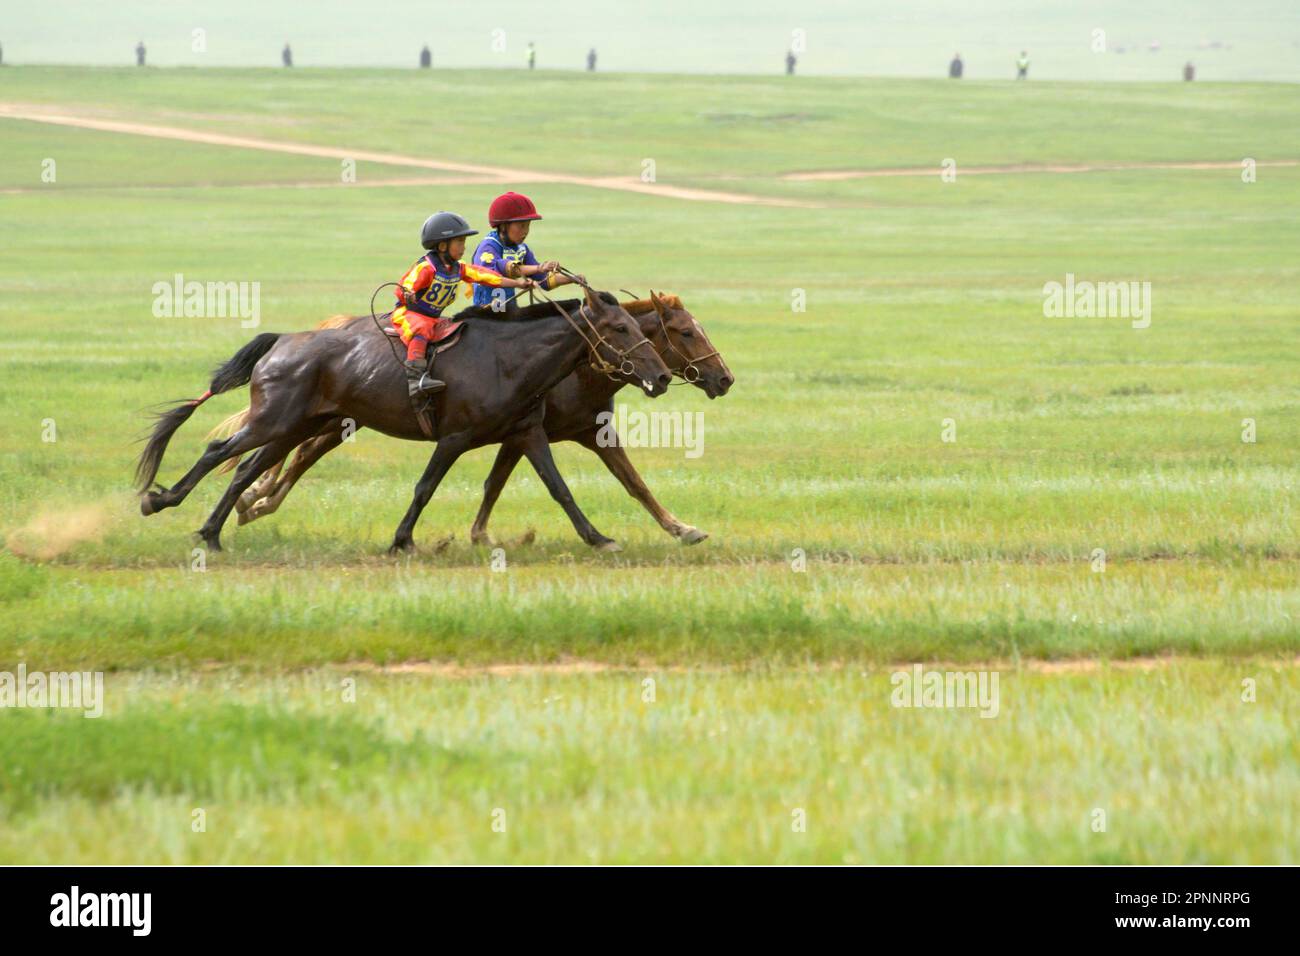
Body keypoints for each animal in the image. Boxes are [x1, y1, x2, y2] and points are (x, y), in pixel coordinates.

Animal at [135, 288, 672, 554]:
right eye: (620, 328)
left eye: (639, 326)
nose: (663, 376)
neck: (508, 358)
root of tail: (283, 340)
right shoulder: (454, 437)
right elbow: (425, 487)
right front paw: (402, 540)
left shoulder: (525, 433)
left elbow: (560, 490)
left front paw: (599, 538)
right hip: (275, 423)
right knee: (218, 453)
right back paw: (161, 502)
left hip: (295, 427)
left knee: (245, 469)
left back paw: (211, 530)